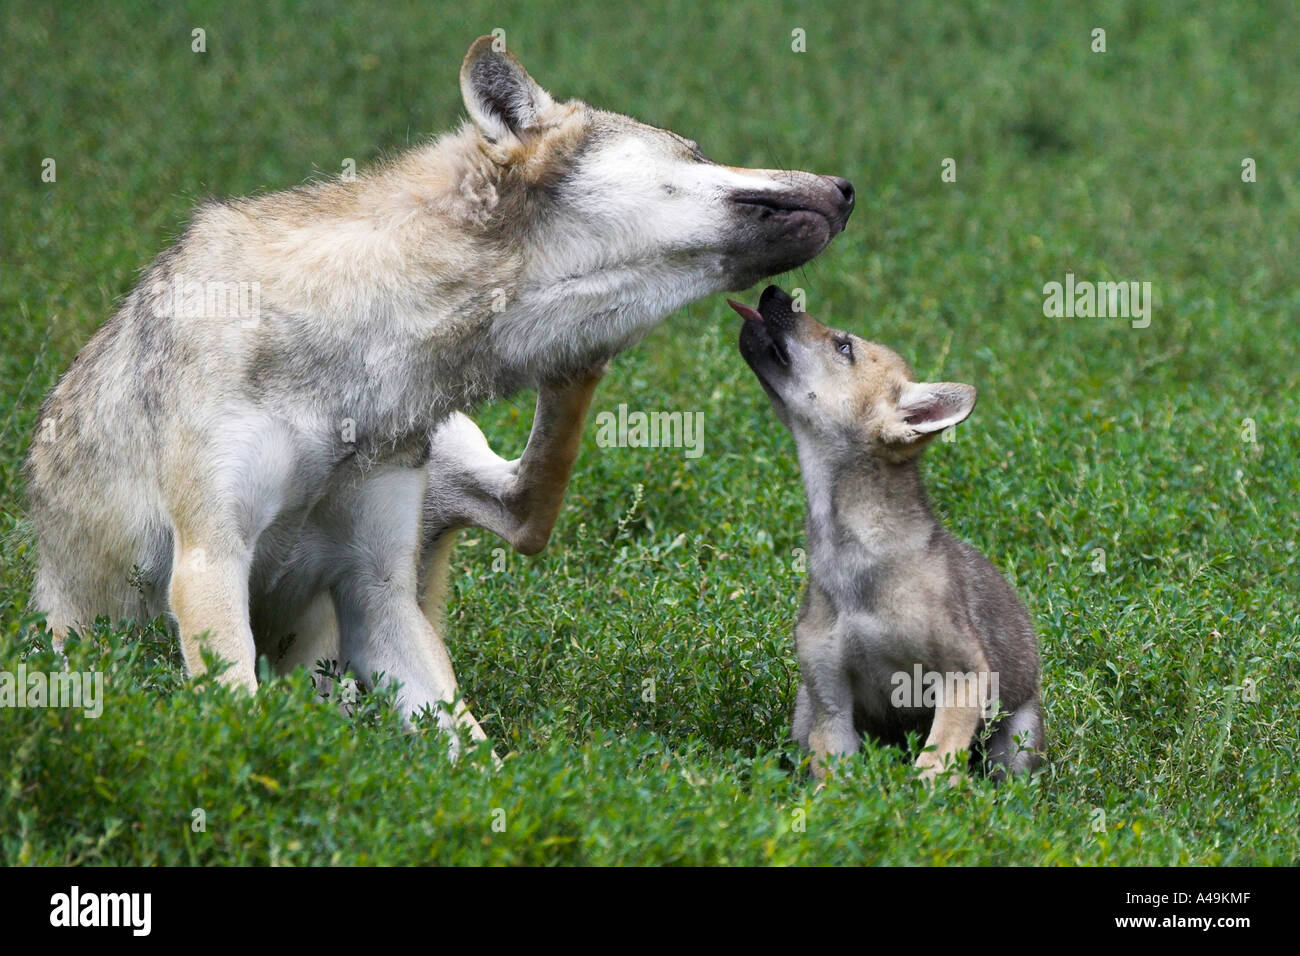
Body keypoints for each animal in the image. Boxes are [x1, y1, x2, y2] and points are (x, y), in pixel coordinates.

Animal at [24, 37, 853, 751]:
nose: (848, 188)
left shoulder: (377, 594)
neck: (373, 355)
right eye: (697, 151)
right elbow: (245, 717)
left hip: (450, 461)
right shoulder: (210, 561)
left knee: (527, 515)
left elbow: (479, 764)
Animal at [729, 287, 1043, 782]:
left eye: (844, 346)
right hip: (803, 715)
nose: (773, 290)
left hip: (1016, 743)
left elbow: (934, 760)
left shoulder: (965, 673)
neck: (849, 551)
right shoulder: (830, 703)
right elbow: (836, 780)